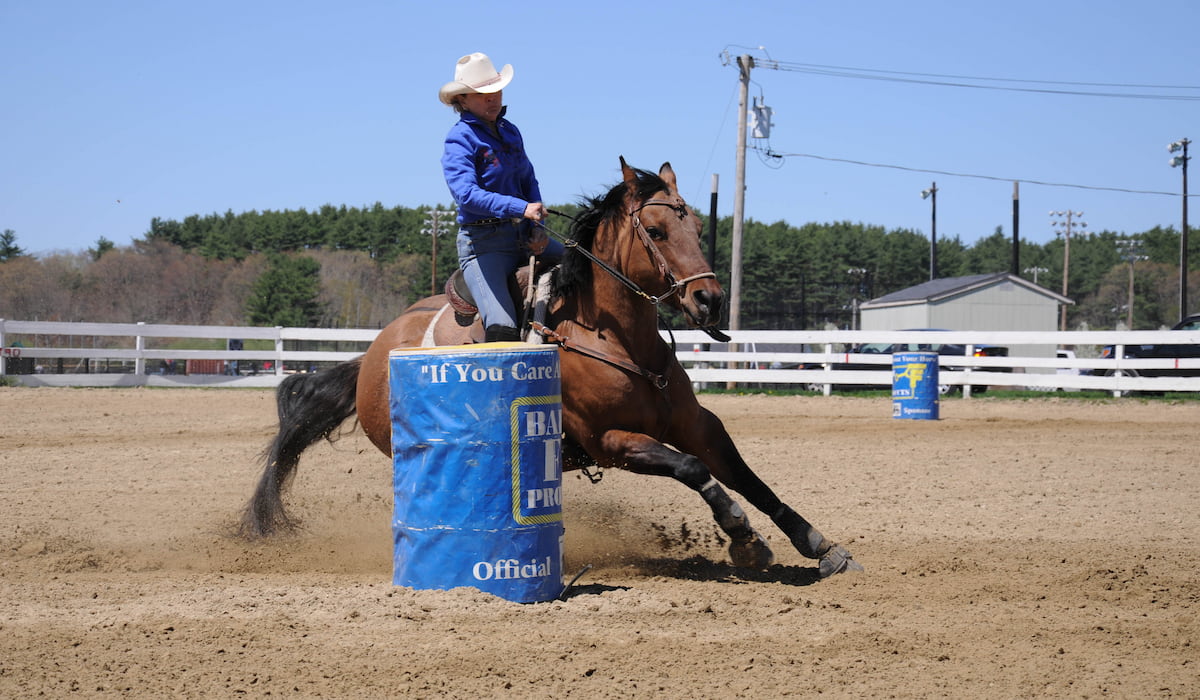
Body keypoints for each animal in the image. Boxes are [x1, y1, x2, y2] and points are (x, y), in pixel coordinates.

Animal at [241, 158, 861, 579]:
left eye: (698, 228)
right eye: (658, 231)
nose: (708, 300)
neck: (616, 339)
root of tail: (372, 354)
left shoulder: (697, 423)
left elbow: (744, 474)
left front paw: (820, 545)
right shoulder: (612, 442)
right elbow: (694, 470)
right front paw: (744, 539)